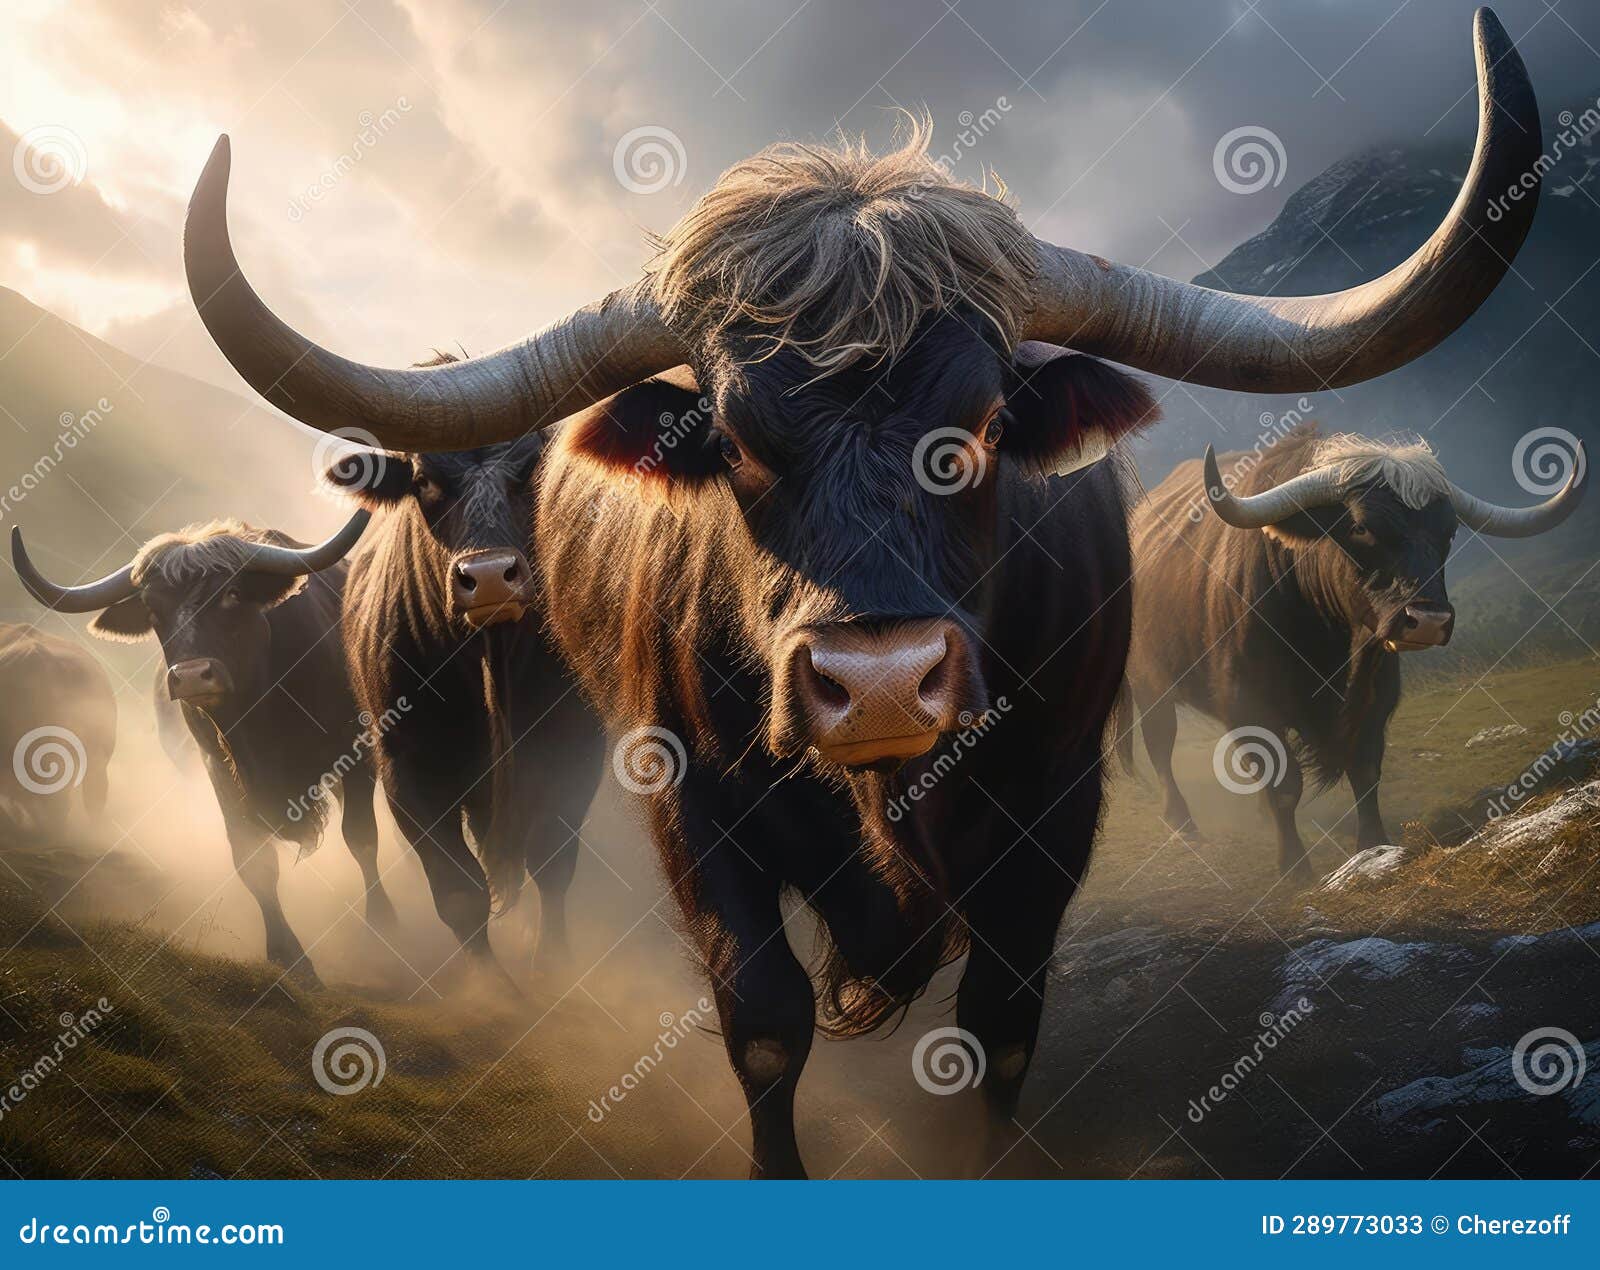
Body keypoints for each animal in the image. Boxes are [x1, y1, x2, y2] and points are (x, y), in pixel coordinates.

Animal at [322, 372, 604, 979]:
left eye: (534, 470)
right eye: (424, 480)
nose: (491, 576)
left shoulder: (574, 757)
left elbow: (551, 862)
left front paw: (552, 964)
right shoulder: (408, 774)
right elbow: (458, 893)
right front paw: (494, 988)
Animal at [1124, 426, 1585, 881]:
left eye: (1449, 532)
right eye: (1361, 528)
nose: (1428, 619)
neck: (1325, 640)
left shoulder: (1376, 696)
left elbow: (1364, 769)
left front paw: (1373, 847)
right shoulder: (1249, 702)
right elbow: (1284, 785)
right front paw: (1294, 868)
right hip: (1149, 686)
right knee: (1161, 745)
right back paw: (1182, 822)